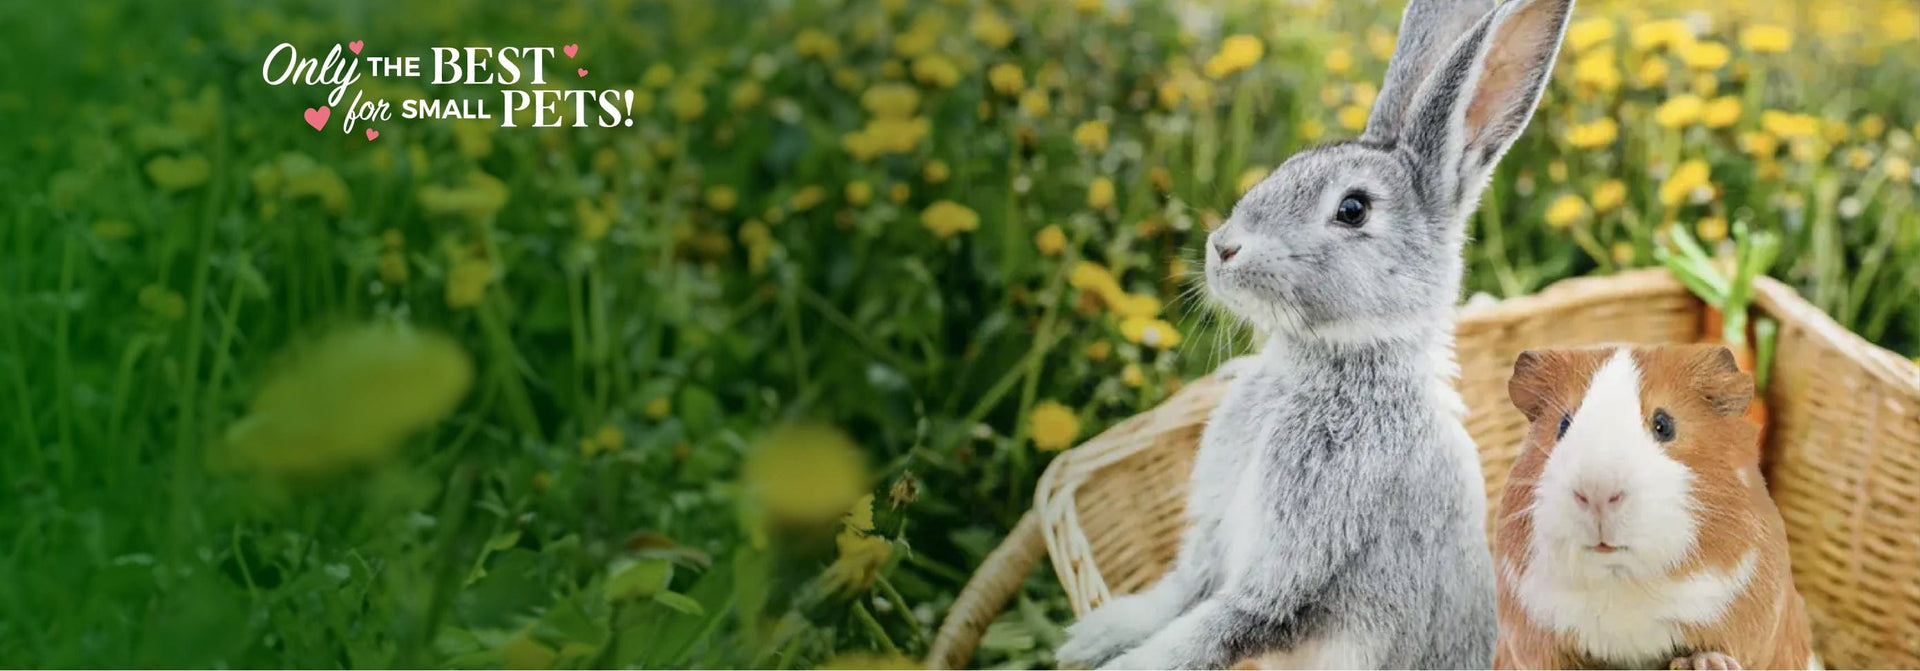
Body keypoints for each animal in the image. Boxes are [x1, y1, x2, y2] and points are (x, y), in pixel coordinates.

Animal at [1054, 0, 1574, 668]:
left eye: (1353, 209)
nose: (1222, 247)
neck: (1321, 362)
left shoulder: (1289, 567)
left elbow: (1209, 627)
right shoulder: (1214, 540)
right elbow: (1178, 592)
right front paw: (1091, 636)